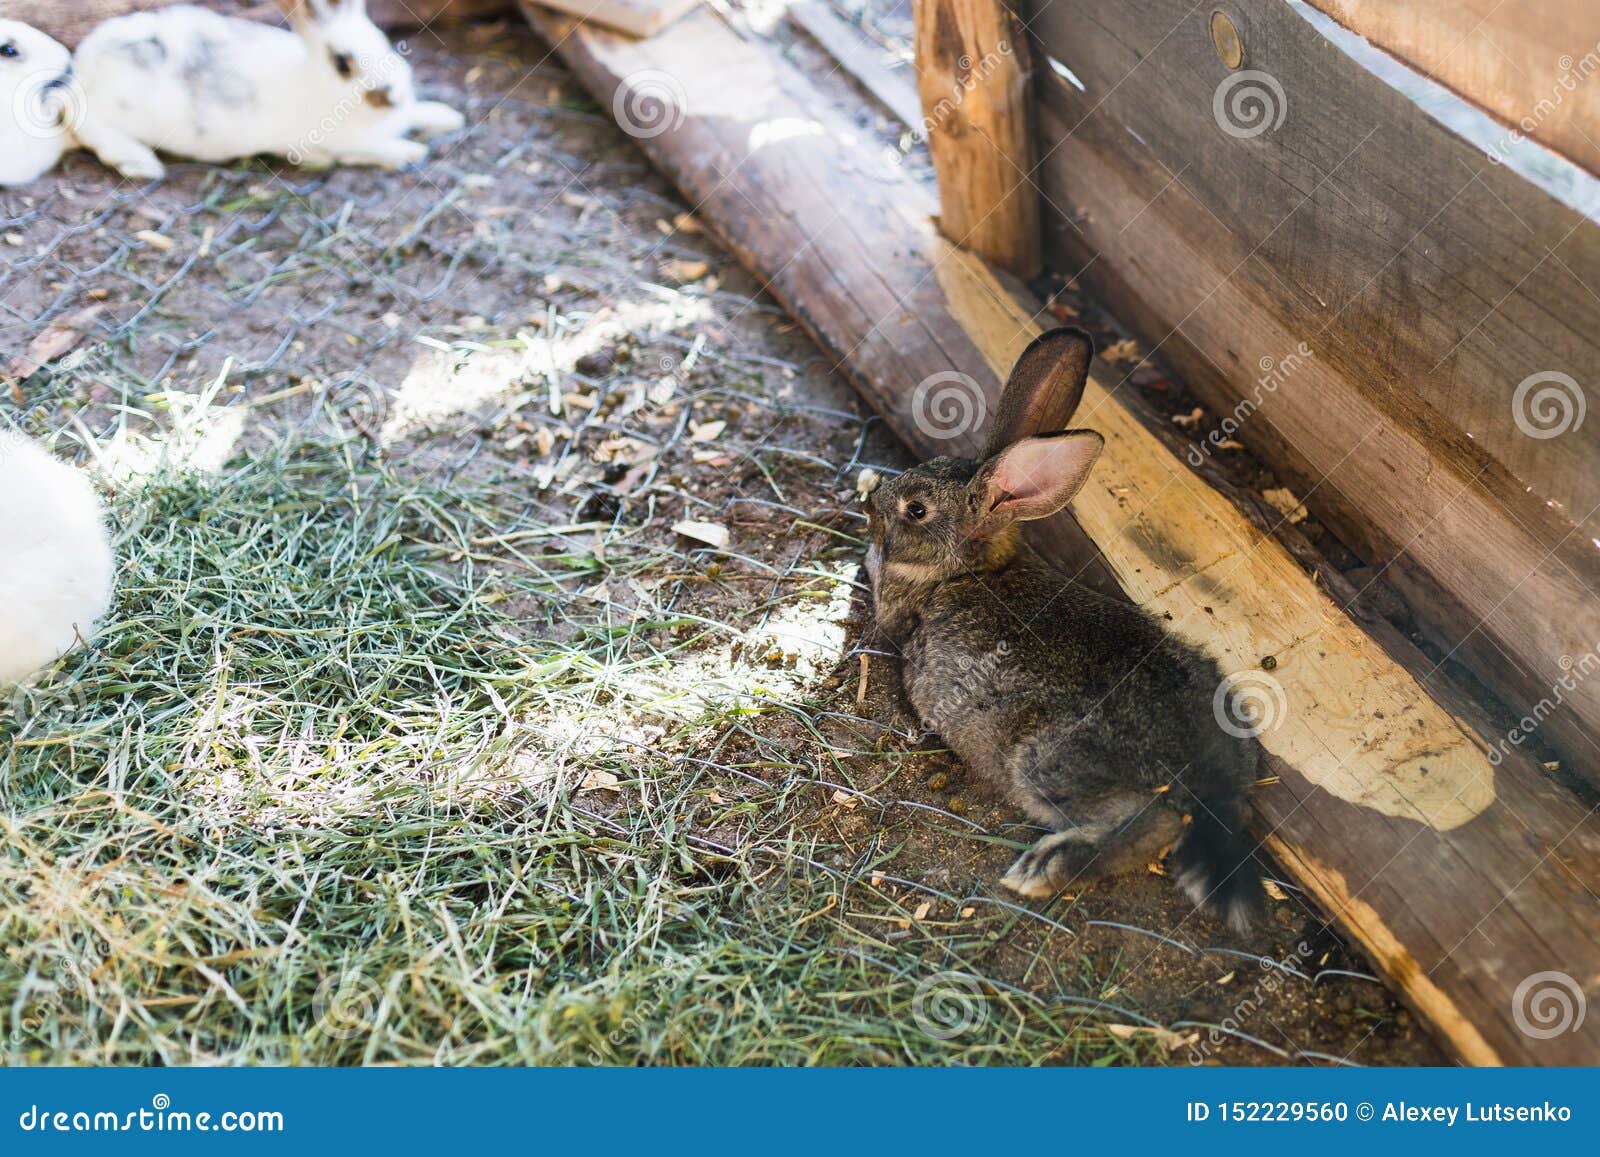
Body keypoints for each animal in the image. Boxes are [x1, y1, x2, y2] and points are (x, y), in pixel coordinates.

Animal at [72, 0, 466, 182]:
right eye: (343, 64)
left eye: (384, 42)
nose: (391, 97)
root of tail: (83, 68)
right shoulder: (342, 142)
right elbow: (373, 150)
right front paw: (411, 151)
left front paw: (449, 117)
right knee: (92, 129)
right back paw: (140, 162)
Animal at [859, 327, 1264, 933]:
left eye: (915, 510)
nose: (871, 502)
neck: (970, 567)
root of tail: (1204, 769)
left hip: (1045, 762)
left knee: (1152, 822)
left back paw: (1045, 869)